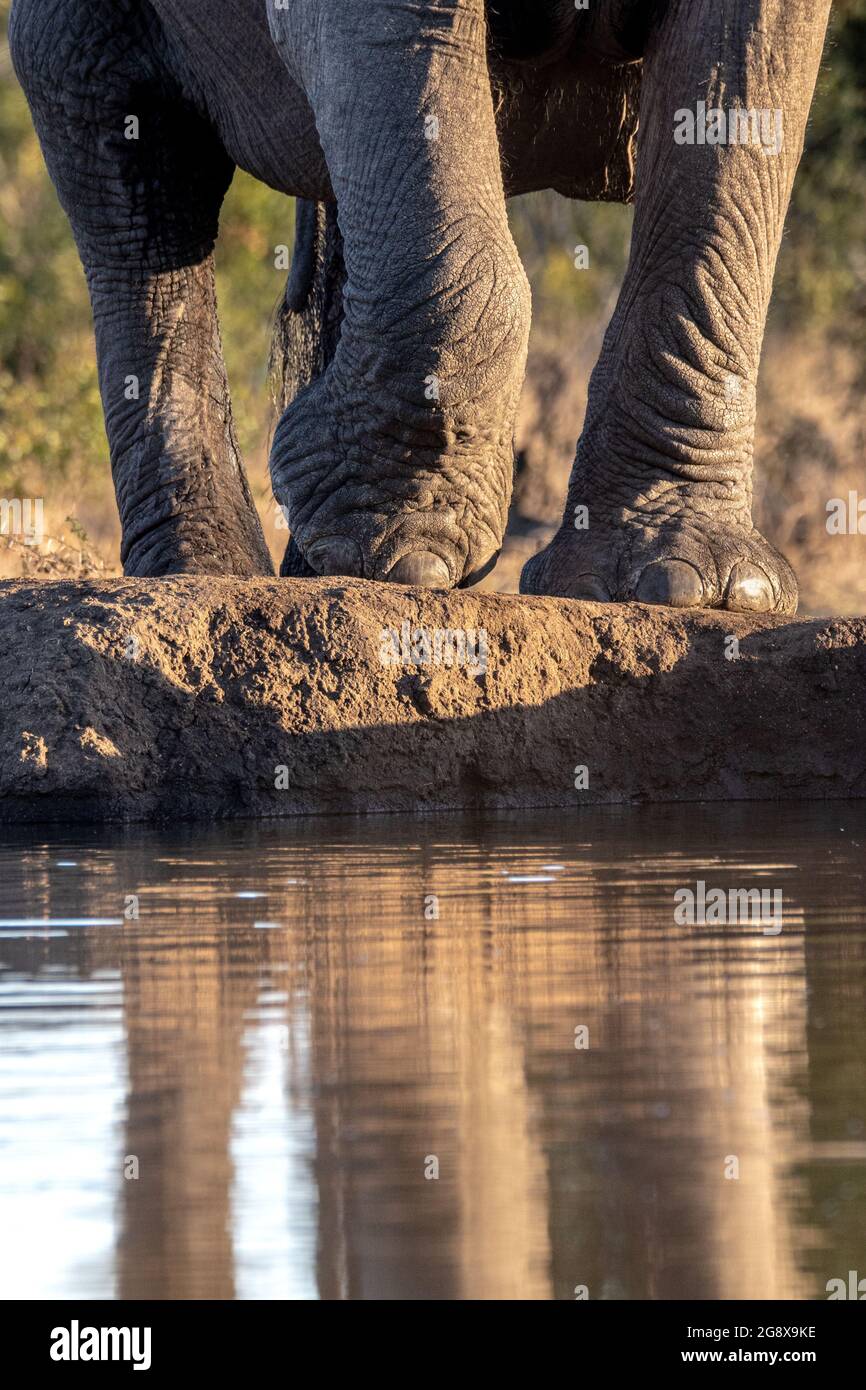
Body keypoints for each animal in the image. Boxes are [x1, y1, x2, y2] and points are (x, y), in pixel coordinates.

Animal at [10, 0, 833, 611]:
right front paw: (398, 551)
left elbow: (737, 100)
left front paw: (688, 588)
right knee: (131, 156)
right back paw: (210, 573)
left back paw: (312, 568)